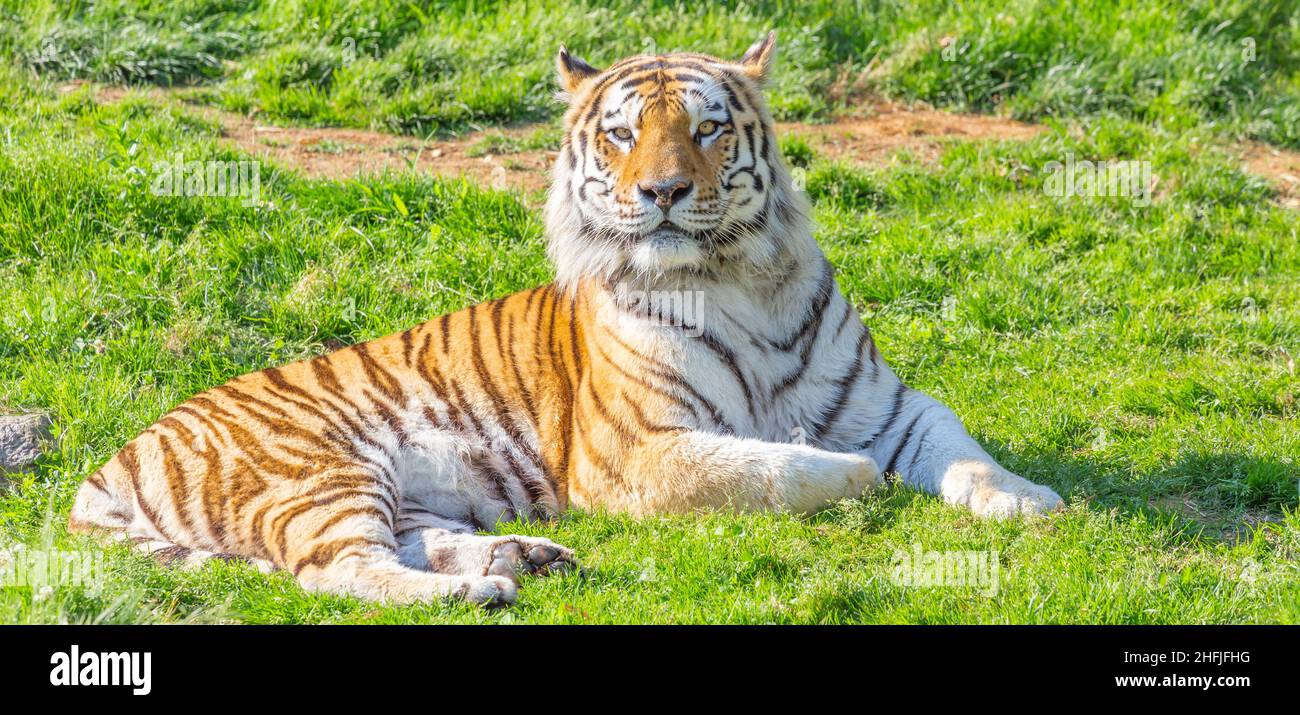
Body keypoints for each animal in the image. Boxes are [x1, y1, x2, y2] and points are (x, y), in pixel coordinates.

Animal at [69, 33, 1064, 606]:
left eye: (707, 128)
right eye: (623, 134)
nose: (662, 192)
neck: (738, 277)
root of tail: (111, 460)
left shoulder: (890, 404)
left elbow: (962, 449)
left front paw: (1034, 502)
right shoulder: (638, 449)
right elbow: (773, 468)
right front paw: (856, 478)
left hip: (396, 489)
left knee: (413, 539)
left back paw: (524, 558)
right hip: (316, 471)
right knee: (335, 570)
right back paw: (475, 594)